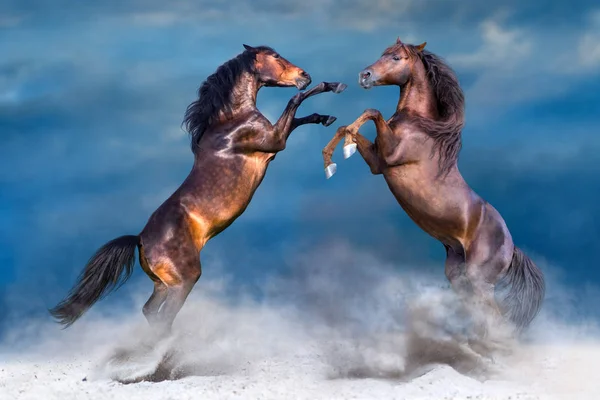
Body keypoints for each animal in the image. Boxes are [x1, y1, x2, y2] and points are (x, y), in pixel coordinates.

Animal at [50, 43, 346, 334]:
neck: (230, 122)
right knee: (164, 317)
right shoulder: (275, 141)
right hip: (185, 280)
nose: (304, 75)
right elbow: (295, 102)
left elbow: (298, 115)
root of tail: (140, 239)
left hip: (163, 284)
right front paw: (332, 86)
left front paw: (327, 115)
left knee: (149, 311)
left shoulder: (274, 139)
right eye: (274, 56)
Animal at [324, 37, 544, 340]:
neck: (420, 125)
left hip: (479, 280)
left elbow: (371, 112)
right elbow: (348, 127)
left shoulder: (389, 156)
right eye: (383, 54)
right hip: (458, 277)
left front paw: (343, 150)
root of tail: (512, 249)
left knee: (495, 319)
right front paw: (331, 160)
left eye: (396, 58)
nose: (364, 76)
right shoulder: (378, 163)